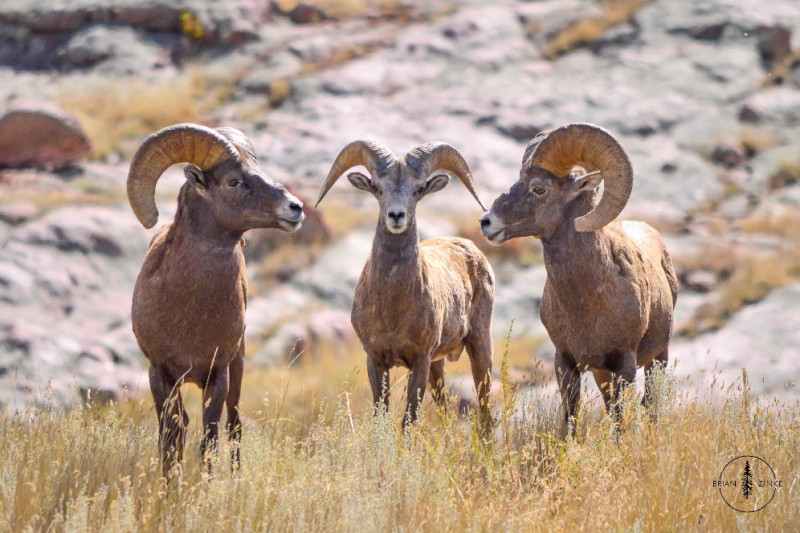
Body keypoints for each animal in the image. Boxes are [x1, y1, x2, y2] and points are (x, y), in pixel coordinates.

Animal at [127, 123, 305, 474]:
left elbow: (208, 442)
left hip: (238, 367)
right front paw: (170, 483)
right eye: (233, 181)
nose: (296, 208)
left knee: (234, 427)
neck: (190, 316)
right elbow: (169, 439)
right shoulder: (161, 374)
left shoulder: (217, 376)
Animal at [316, 140, 495, 431]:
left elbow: (409, 420)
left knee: (486, 407)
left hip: (478, 344)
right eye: (377, 188)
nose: (396, 216)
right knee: (445, 409)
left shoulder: (420, 360)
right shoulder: (376, 359)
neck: (393, 309)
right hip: (438, 365)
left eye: (418, 190)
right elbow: (381, 417)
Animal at [479, 123, 678, 432]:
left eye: (539, 188)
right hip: (601, 374)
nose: (486, 222)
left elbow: (620, 420)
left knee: (651, 404)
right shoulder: (566, 362)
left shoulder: (624, 363)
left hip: (658, 358)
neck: (586, 300)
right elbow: (572, 419)